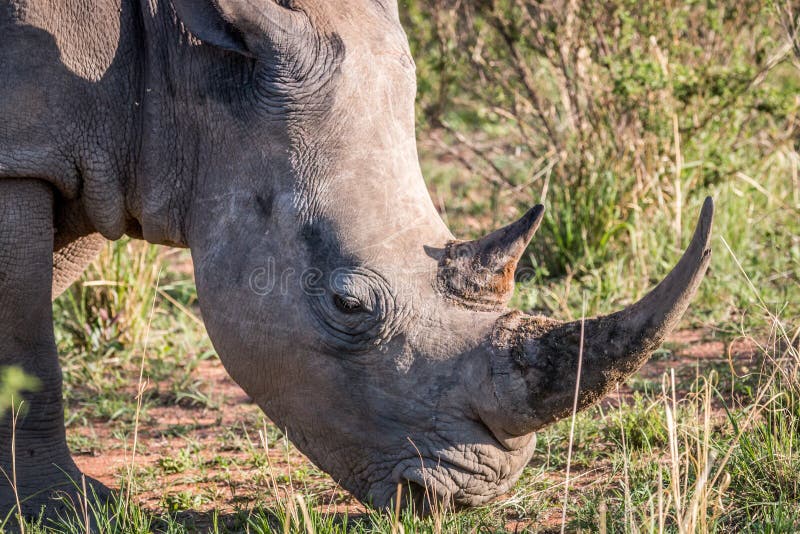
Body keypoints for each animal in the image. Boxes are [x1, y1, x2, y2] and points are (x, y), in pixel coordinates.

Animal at [0, 0, 713, 520]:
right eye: (347, 303)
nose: (465, 497)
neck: (181, 62)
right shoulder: (28, 155)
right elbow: (30, 351)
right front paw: (62, 510)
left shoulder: (93, 151)